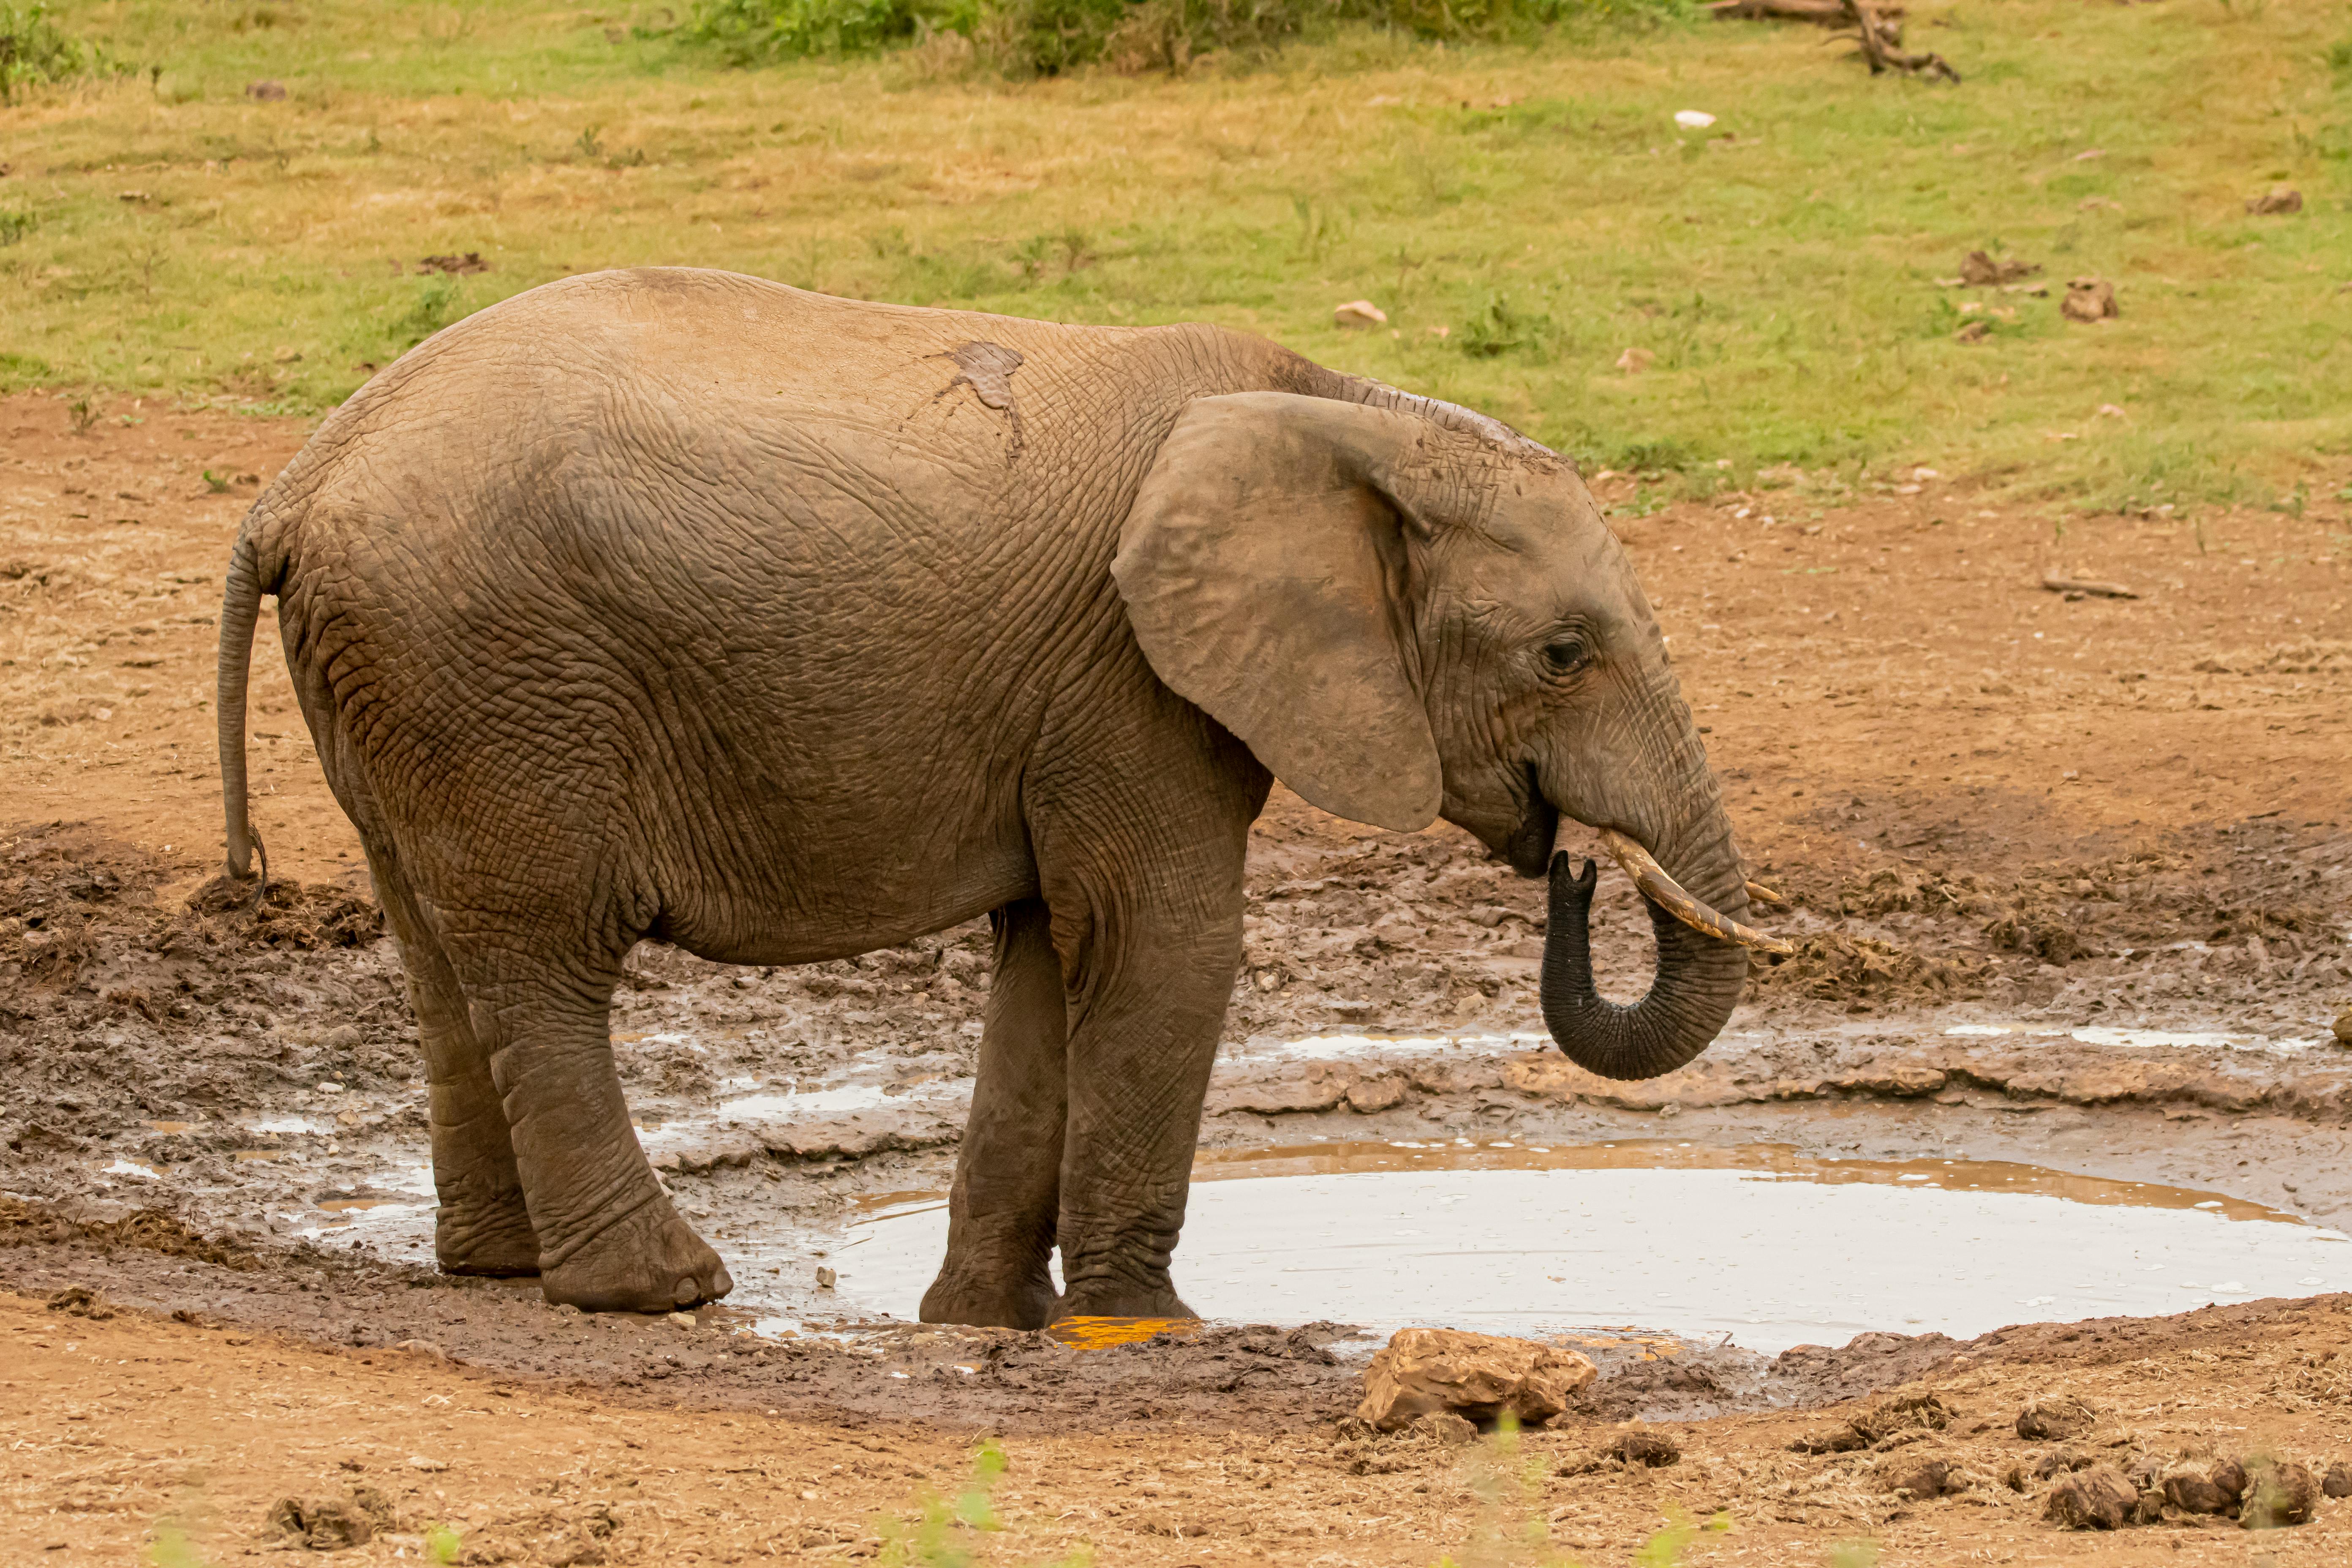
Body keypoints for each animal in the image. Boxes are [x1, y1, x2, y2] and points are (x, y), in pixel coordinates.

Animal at [215, 267, 1789, 1325]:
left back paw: (498, 1264)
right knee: (544, 959)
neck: (1344, 417)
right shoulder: (1129, 677)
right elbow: (1167, 946)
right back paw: (659, 1287)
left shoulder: (1078, 706)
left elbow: (1046, 957)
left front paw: (989, 1320)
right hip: (491, 671)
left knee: (442, 955)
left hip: (407, 679)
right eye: (1560, 653)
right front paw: (1147, 1325)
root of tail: (292, 483)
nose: (1575, 865)